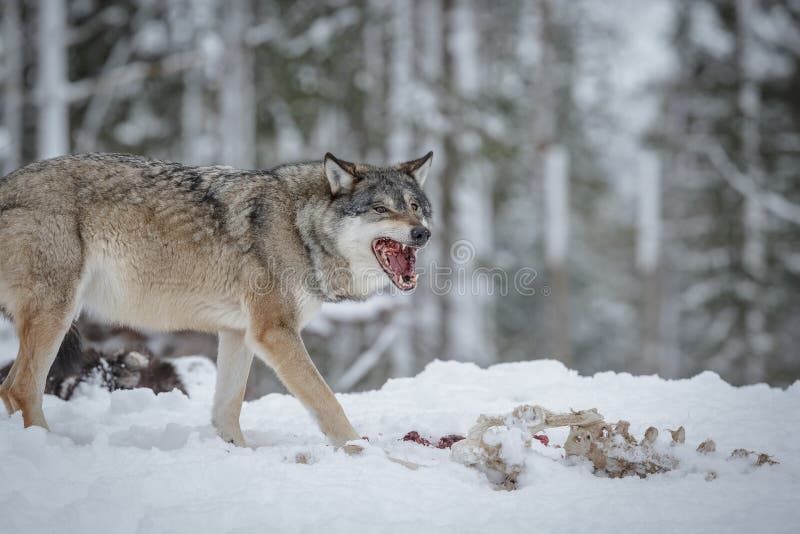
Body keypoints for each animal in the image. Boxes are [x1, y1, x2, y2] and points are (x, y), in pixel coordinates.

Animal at [0, 151, 433, 446]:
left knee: (10, 388)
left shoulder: (239, 334)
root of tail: (7, 181)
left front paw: (236, 453)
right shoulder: (274, 333)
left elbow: (227, 412)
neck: (299, 228)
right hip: (58, 315)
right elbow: (328, 402)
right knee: (20, 389)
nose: (422, 233)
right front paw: (361, 450)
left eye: (415, 207)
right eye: (380, 209)